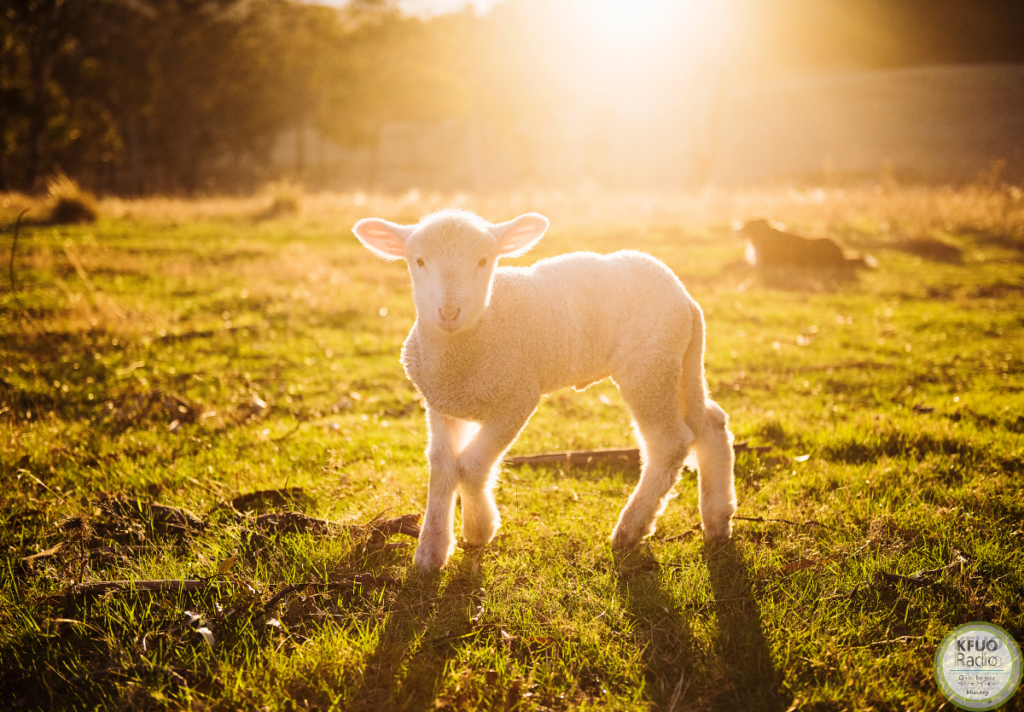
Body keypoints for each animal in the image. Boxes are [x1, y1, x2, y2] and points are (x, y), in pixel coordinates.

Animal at [352, 209, 737, 572]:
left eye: (483, 261)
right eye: (418, 261)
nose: (448, 312)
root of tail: (687, 299)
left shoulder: (517, 399)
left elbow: (471, 465)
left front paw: (479, 529)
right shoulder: (441, 403)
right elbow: (442, 463)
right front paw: (431, 551)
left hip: (649, 366)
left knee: (669, 443)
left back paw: (630, 529)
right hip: (681, 362)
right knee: (711, 423)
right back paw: (718, 520)